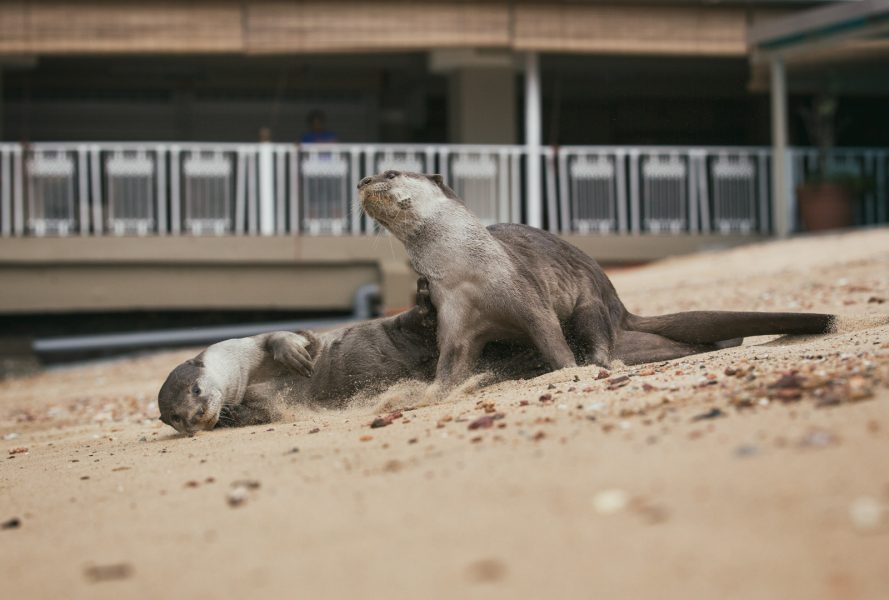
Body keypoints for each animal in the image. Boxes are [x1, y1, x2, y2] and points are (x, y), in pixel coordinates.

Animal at [358, 170, 835, 394]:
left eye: (392, 172)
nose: (362, 180)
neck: (467, 268)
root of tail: (618, 301)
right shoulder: (455, 315)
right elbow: (450, 363)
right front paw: (423, 393)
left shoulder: (526, 292)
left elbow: (551, 336)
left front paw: (568, 370)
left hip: (589, 301)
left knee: (599, 336)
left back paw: (599, 363)